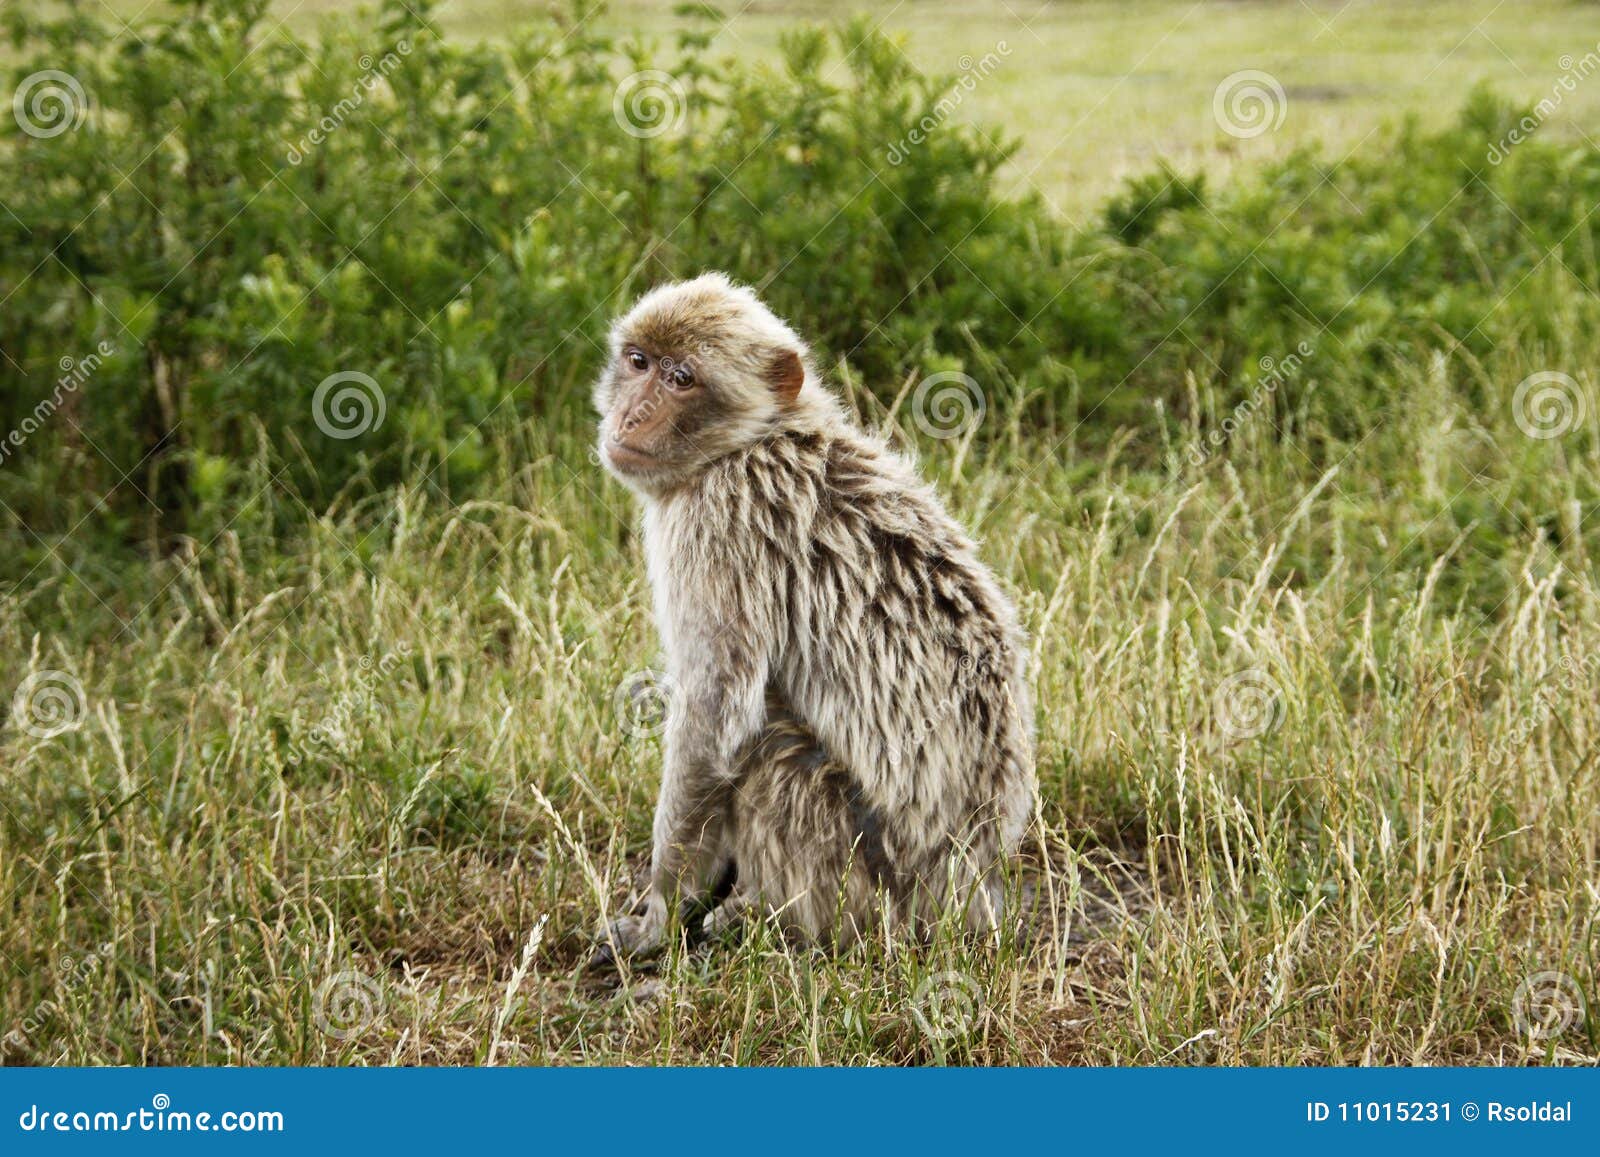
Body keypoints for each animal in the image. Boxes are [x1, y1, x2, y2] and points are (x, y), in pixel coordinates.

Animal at [592, 272, 1036, 957]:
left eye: (681, 378)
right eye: (639, 362)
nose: (630, 414)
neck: (753, 441)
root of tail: (963, 890)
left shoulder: (713, 526)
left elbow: (714, 717)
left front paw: (659, 914)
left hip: (859, 885)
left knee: (768, 747)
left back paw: (763, 920)